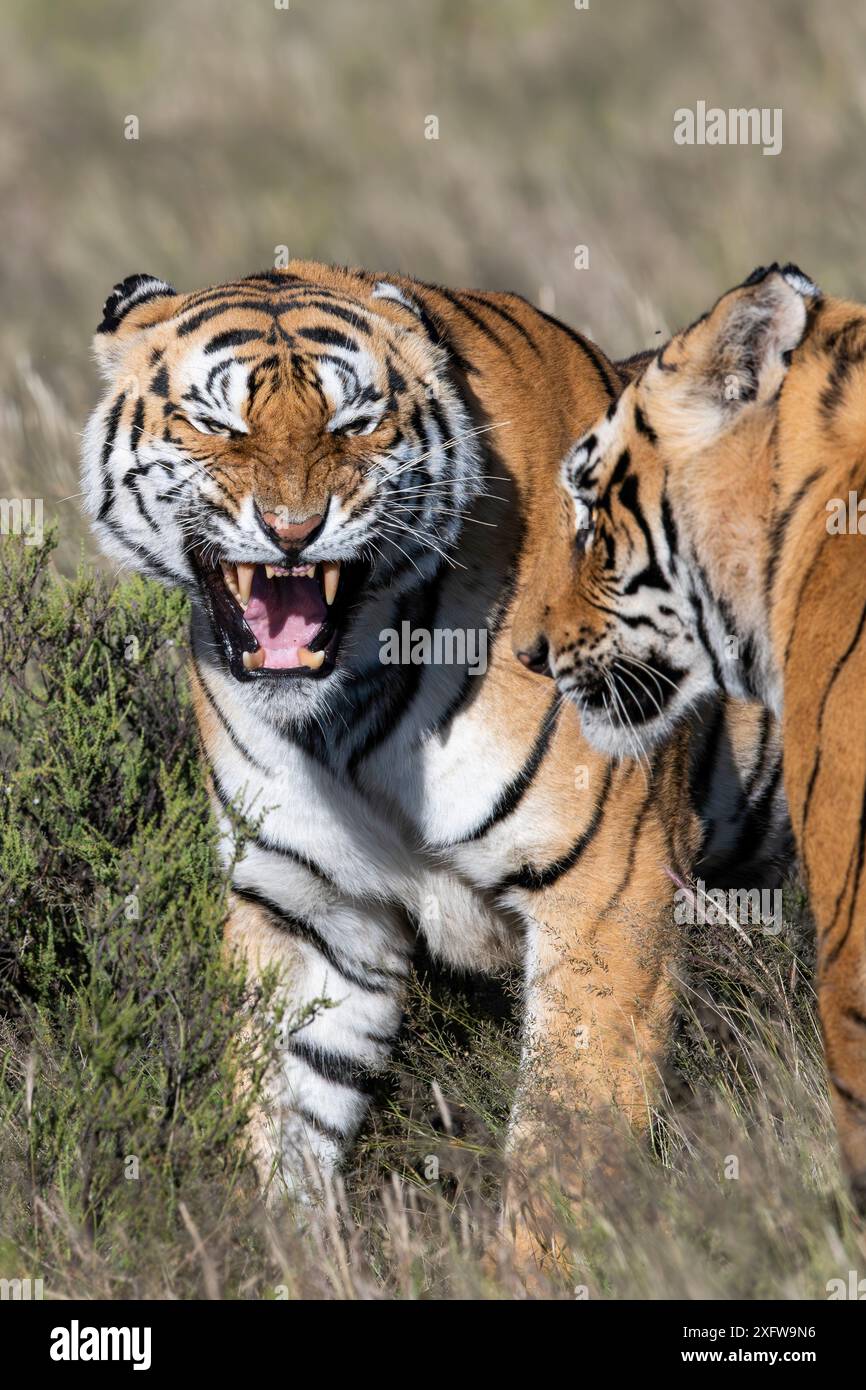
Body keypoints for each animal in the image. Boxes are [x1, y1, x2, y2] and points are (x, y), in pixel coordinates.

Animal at [82, 261, 790, 1266]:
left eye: (353, 424)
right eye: (218, 425)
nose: (292, 530)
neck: (346, 709)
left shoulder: (609, 888)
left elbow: (564, 1133)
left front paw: (537, 1271)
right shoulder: (310, 908)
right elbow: (286, 1119)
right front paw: (297, 1266)